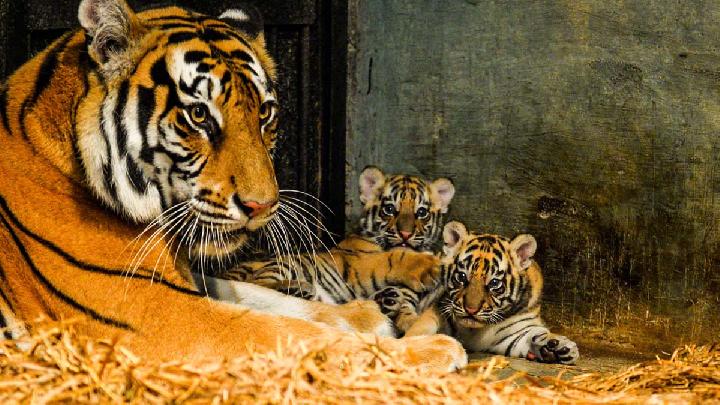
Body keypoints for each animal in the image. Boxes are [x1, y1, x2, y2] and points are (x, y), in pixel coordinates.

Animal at [208, 167, 455, 332]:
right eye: (389, 209)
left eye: (421, 212)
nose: (405, 234)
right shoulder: (360, 264)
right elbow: (389, 259)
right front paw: (429, 265)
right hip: (280, 264)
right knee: (259, 285)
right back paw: (300, 289)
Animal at [379, 221, 579, 364]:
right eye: (461, 277)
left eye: (494, 283)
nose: (471, 310)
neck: (475, 330)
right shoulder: (437, 311)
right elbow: (421, 329)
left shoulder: (516, 332)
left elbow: (535, 334)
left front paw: (559, 348)